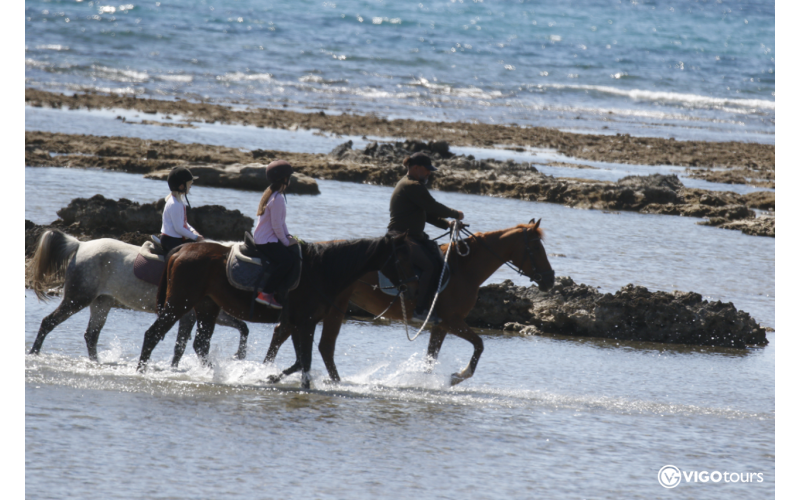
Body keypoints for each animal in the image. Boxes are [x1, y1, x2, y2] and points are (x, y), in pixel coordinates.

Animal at [27, 230, 250, 364]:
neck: (217, 266)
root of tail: (81, 245)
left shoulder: (197, 314)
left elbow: (182, 345)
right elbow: (182, 344)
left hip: (101, 302)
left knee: (91, 335)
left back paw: (96, 362)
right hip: (78, 298)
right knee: (49, 322)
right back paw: (34, 353)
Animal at [137, 232, 418, 388]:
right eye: (402, 257)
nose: (410, 284)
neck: (322, 270)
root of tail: (181, 249)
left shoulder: (298, 322)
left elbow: (300, 360)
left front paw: (271, 377)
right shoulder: (304, 322)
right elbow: (304, 359)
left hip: (207, 306)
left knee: (200, 344)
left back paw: (216, 374)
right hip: (179, 303)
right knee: (152, 335)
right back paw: (140, 371)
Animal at [263, 219, 555, 386]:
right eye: (536, 248)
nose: (550, 279)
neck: (465, 268)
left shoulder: (440, 325)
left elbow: (430, 359)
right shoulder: (452, 321)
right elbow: (479, 344)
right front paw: (457, 377)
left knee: (287, 333)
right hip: (332, 309)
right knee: (321, 345)